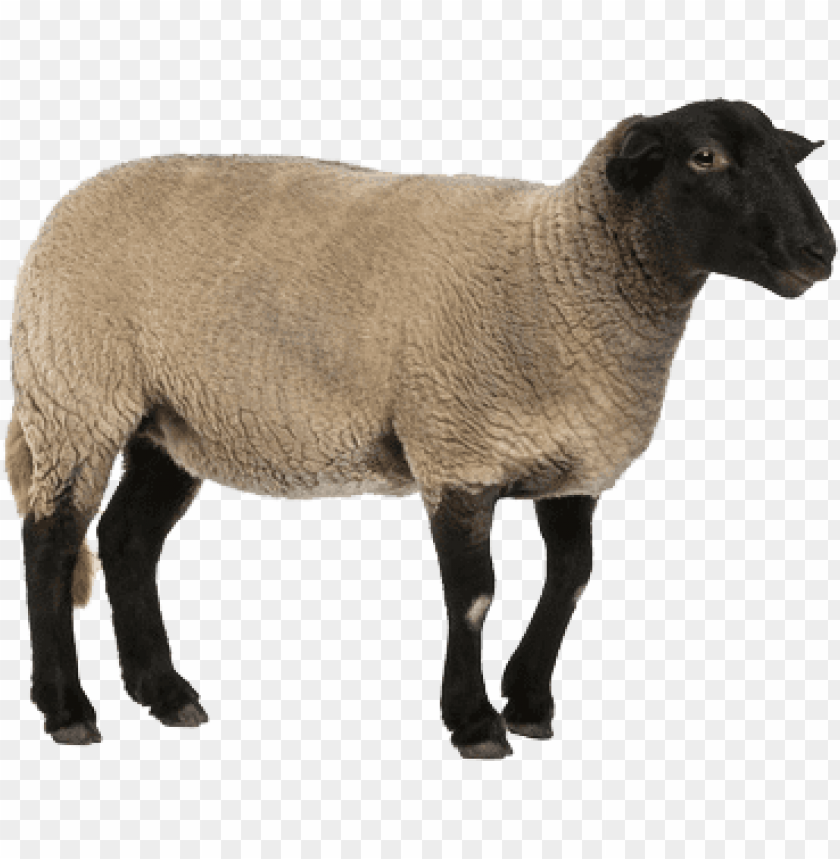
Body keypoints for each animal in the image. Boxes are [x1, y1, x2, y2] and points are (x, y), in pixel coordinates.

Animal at [6, 98, 834, 757]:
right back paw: (67, 708)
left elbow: (570, 578)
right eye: (705, 156)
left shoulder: (571, 467)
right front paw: (475, 721)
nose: (819, 251)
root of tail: (63, 210)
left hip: (169, 421)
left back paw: (165, 691)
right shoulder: (456, 451)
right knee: (51, 540)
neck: (558, 267)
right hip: (78, 396)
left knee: (127, 539)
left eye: (782, 154)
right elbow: (475, 595)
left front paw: (530, 700)